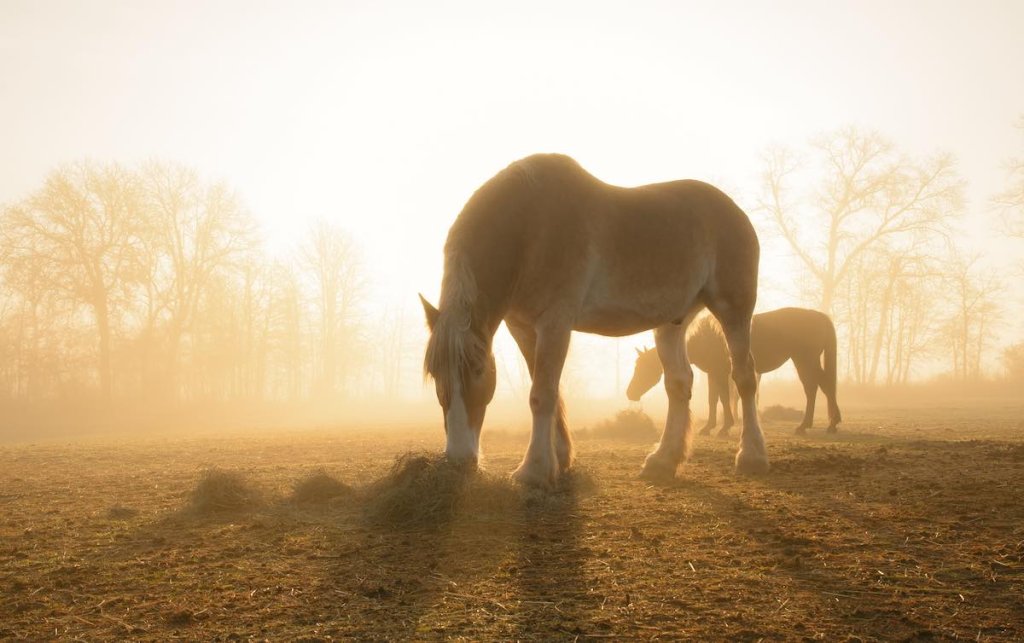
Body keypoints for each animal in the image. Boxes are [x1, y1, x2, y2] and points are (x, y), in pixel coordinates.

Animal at [420, 153, 766, 487]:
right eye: (435, 373)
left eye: (479, 370)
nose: (460, 459)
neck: (530, 228)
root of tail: (736, 212)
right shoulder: (523, 329)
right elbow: (549, 390)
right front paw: (560, 459)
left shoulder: (555, 323)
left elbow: (542, 394)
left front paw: (534, 470)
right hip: (671, 322)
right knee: (679, 383)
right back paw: (663, 461)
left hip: (733, 310)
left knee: (744, 377)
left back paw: (751, 456)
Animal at [628, 307, 842, 435]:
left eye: (642, 368)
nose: (630, 393)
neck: (705, 337)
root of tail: (820, 316)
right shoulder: (713, 373)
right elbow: (713, 399)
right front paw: (708, 427)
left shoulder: (721, 373)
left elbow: (723, 397)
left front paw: (725, 426)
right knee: (823, 386)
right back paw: (829, 423)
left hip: (804, 359)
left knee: (815, 387)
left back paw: (811, 425)